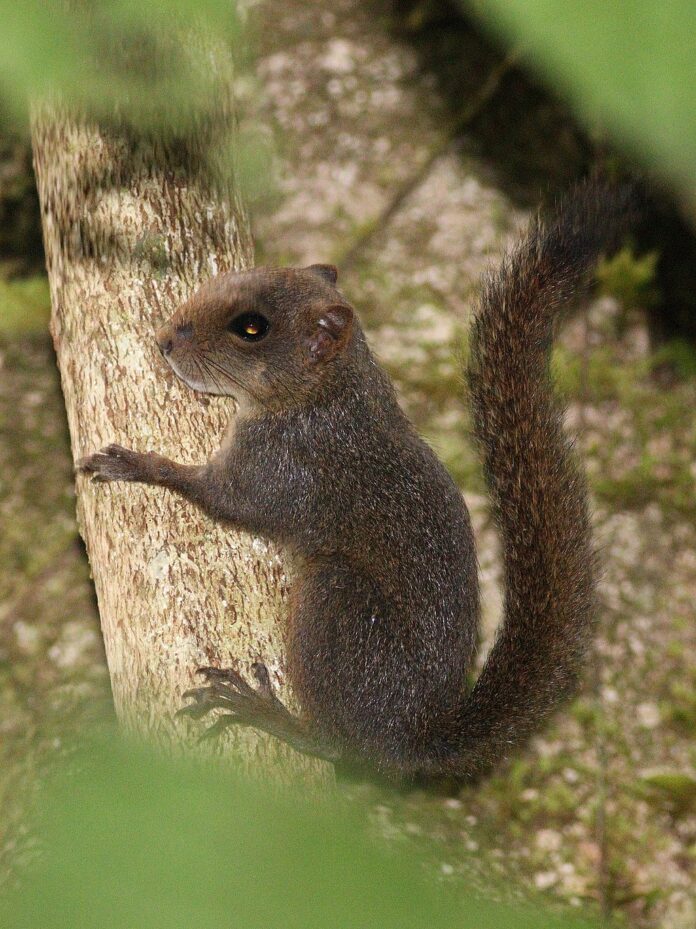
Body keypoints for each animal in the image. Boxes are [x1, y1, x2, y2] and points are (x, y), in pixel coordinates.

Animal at [79, 177, 633, 784]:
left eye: (251, 328)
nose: (165, 339)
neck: (326, 393)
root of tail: (408, 738)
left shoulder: (280, 469)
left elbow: (216, 496)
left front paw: (133, 463)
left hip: (335, 601)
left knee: (335, 745)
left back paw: (264, 710)